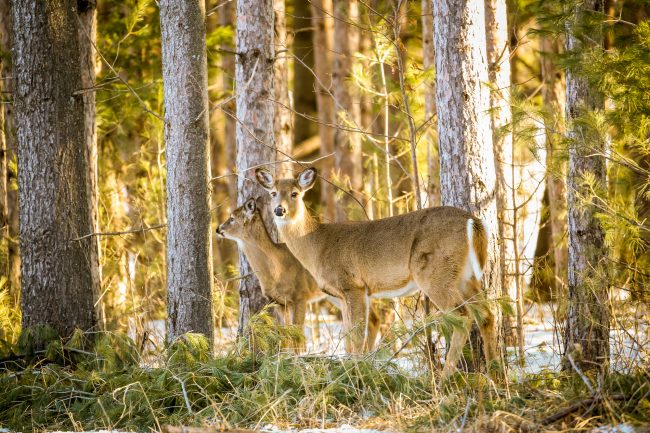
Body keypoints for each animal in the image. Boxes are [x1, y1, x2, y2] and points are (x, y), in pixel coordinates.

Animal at [216, 197, 381, 349]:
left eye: (232, 218)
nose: (218, 229)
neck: (276, 268)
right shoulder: (279, 302)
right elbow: (285, 336)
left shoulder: (301, 295)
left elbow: (297, 337)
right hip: (334, 294)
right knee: (373, 319)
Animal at [255, 167, 498, 377]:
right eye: (273, 193)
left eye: (294, 193)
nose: (279, 210)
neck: (317, 244)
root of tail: (473, 222)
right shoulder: (342, 294)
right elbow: (349, 336)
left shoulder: (353, 285)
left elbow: (357, 335)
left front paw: (356, 373)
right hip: (466, 276)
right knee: (486, 314)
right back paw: (496, 372)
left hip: (434, 272)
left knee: (462, 316)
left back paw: (445, 377)